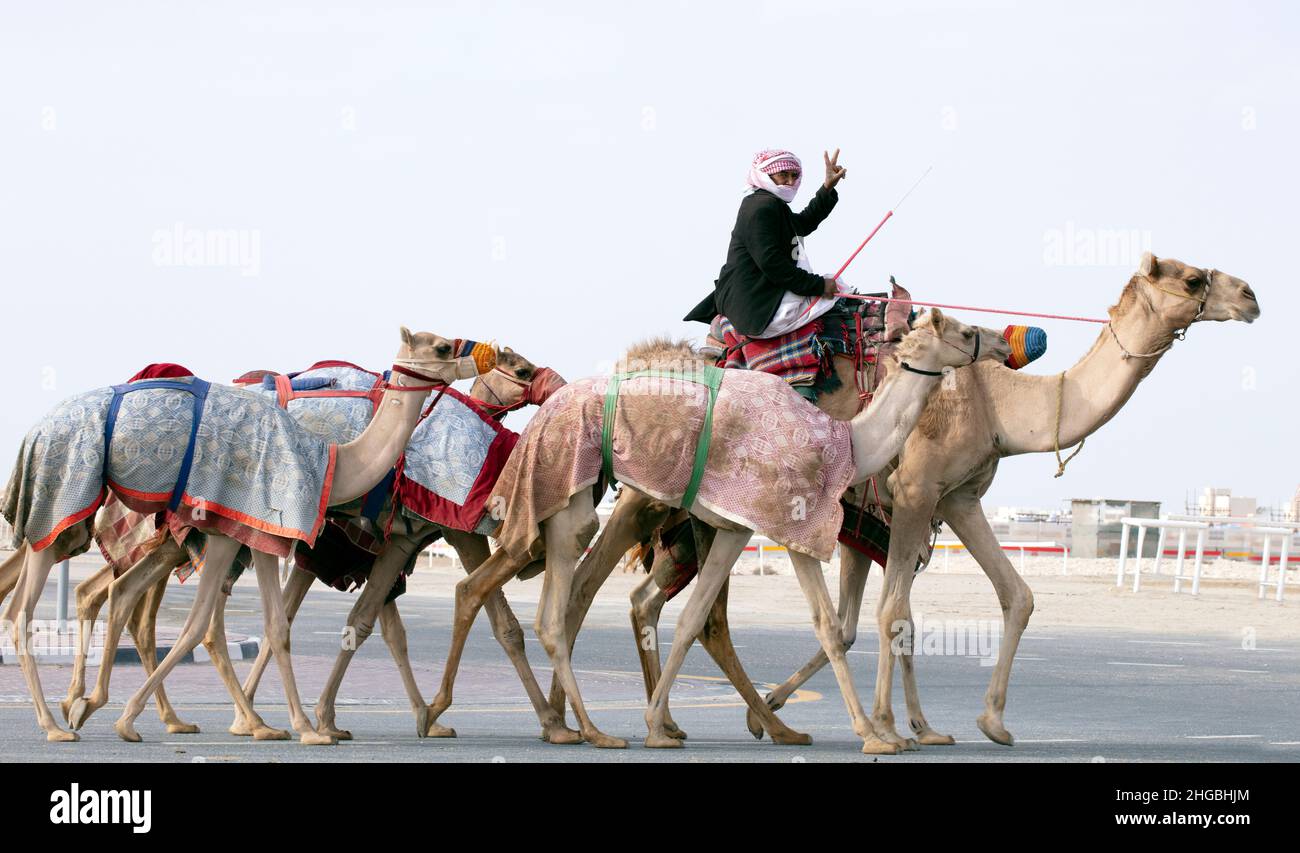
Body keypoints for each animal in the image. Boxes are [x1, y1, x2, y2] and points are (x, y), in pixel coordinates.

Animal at [44, 348, 580, 743]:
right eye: (521, 369)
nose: (559, 387)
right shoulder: (438, 532)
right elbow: (499, 625)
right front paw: (553, 725)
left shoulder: (383, 546)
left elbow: (374, 626)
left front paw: (386, 717)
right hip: (185, 536)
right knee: (153, 605)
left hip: (181, 541)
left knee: (121, 595)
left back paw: (106, 707)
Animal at [422, 309, 1011, 752]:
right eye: (963, 331)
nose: (1001, 346)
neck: (851, 443)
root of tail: (542, 419)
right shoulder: (794, 526)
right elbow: (827, 627)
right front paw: (875, 735)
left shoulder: (734, 529)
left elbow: (693, 620)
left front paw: (657, 725)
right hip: (579, 503)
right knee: (552, 602)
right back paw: (564, 726)